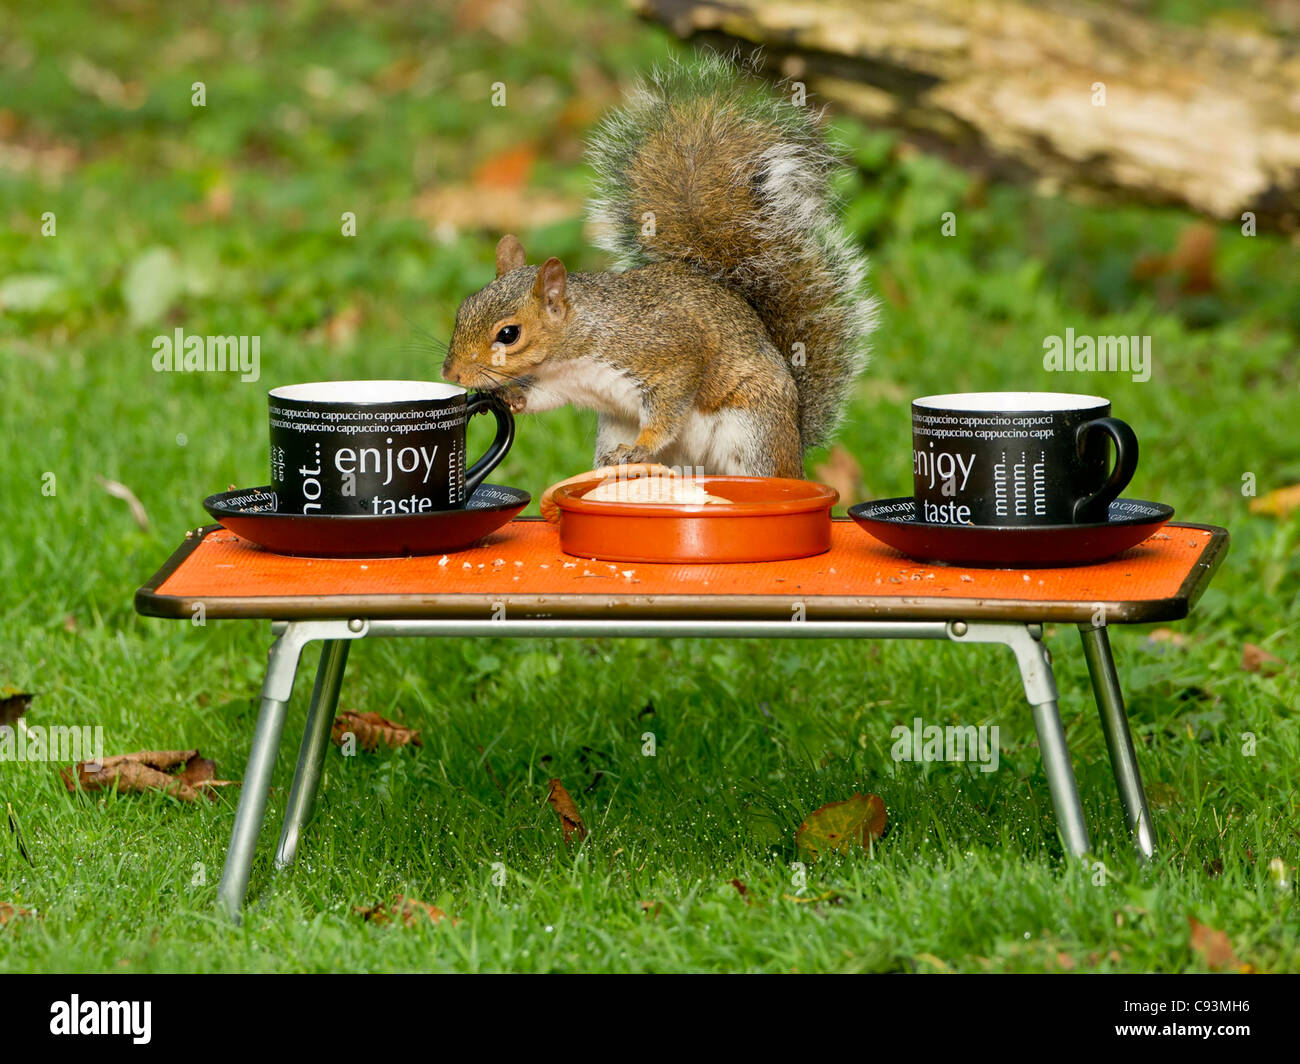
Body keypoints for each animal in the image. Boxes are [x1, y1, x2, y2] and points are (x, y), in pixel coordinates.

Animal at [441, 53, 878, 478]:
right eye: (462, 310)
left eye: (509, 334)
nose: (451, 375)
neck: (577, 342)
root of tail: (796, 442)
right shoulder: (558, 383)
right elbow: (540, 397)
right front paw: (509, 396)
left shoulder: (668, 355)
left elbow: (667, 411)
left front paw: (642, 446)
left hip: (755, 433)